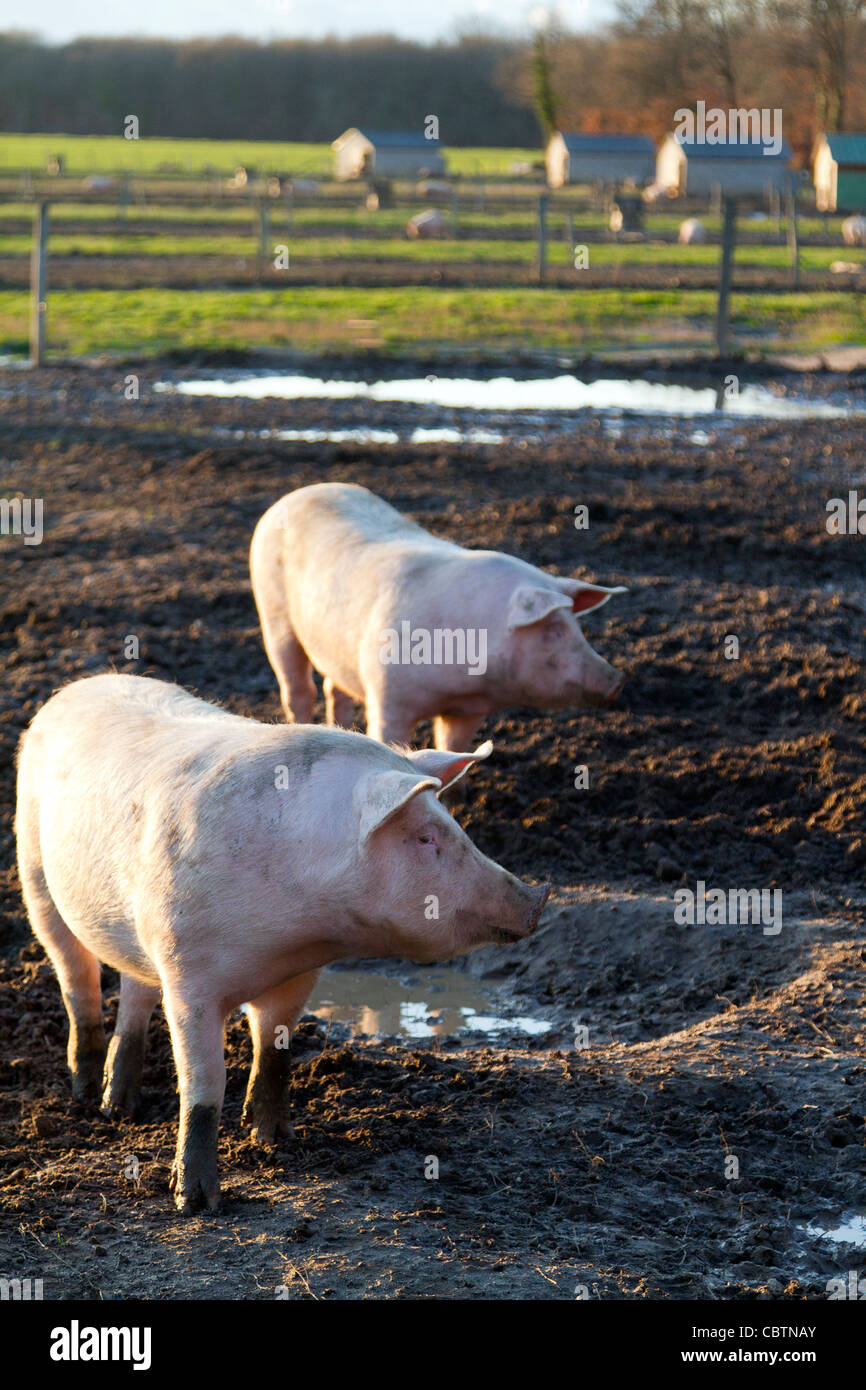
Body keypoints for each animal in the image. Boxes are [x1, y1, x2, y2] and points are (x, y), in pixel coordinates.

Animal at [16, 673, 549, 1213]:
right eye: (424, 837)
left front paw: (273, 1139)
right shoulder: (188, 975)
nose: (537, 897)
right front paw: (197, 1203)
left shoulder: (297, 972)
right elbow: (204, 1083)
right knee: (77, 981)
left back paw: (119, 1107)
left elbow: (274, 1050)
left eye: (454, 824)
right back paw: (87, 1095)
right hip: (35, 875)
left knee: (135, 992)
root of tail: (78, 687)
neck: (297, 928)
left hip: (132, 931)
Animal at [250, 482, 626, 750]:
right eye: (554, 630)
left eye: (576, 626)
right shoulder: (388, 697)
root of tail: (292, 496)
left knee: (334, 686)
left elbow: (453, 748)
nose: (617, 680)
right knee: (296, 688)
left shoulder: (468, 711)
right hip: (273, 613)